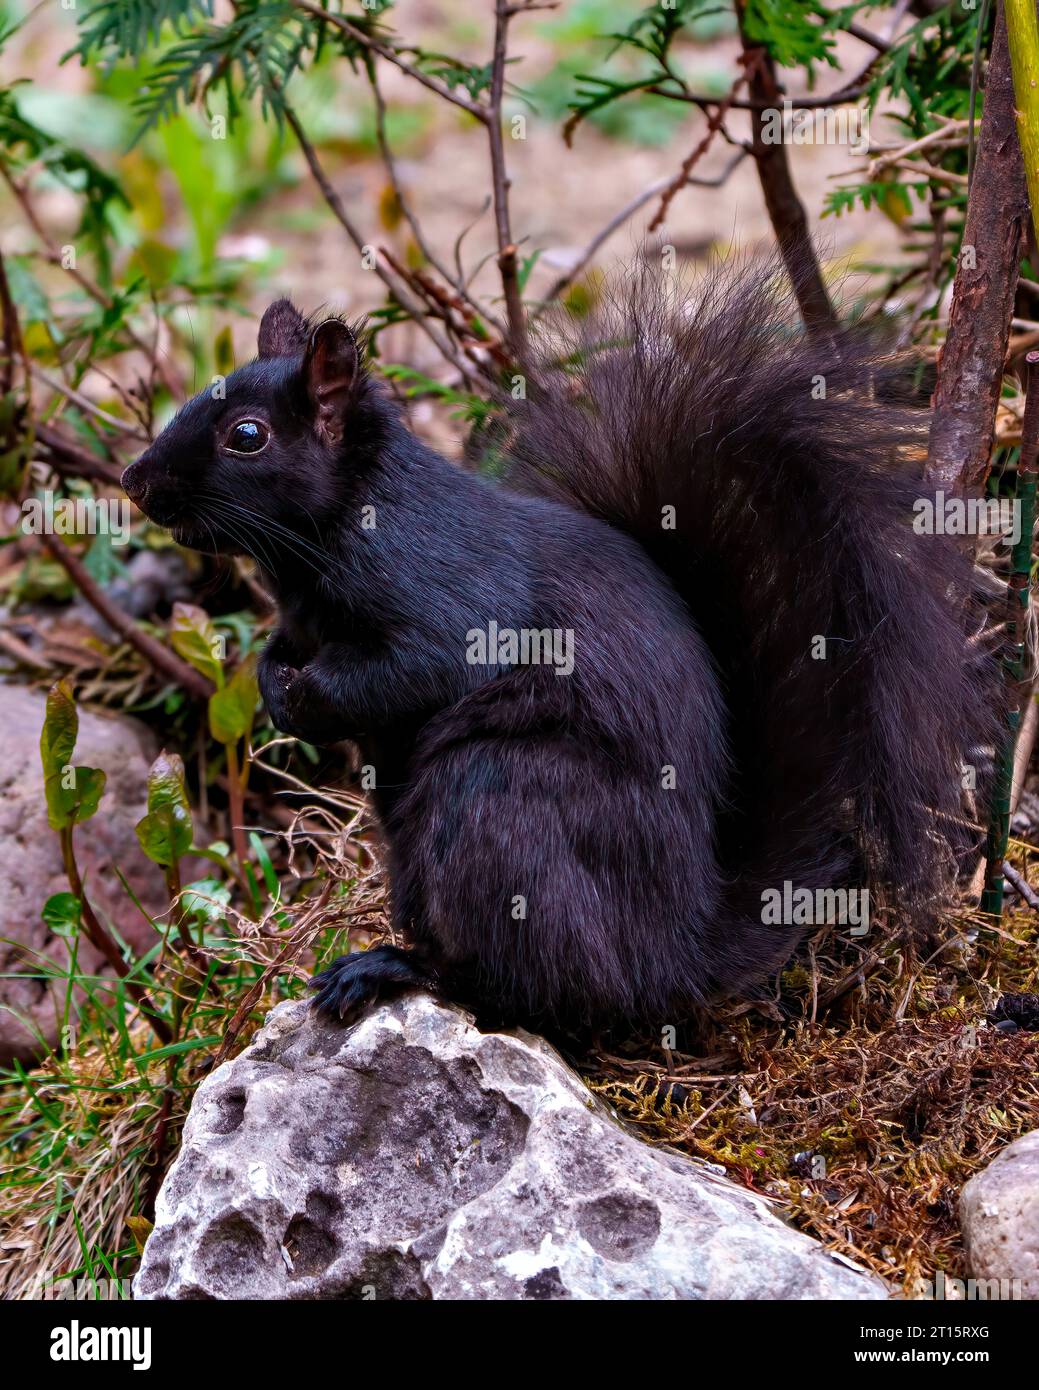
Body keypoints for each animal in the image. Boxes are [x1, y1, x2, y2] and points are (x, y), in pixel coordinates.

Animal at [121, 257, 999, 1034]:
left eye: (247, 436)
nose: (135, 480)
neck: (326, 540)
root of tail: (674, 950)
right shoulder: (302, 620)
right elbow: (281, 650)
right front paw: (276, 686)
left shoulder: (452, 603)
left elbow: (415, 670)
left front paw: (310, 698)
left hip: (499, 794)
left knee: (532, 986)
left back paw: (395, 970)